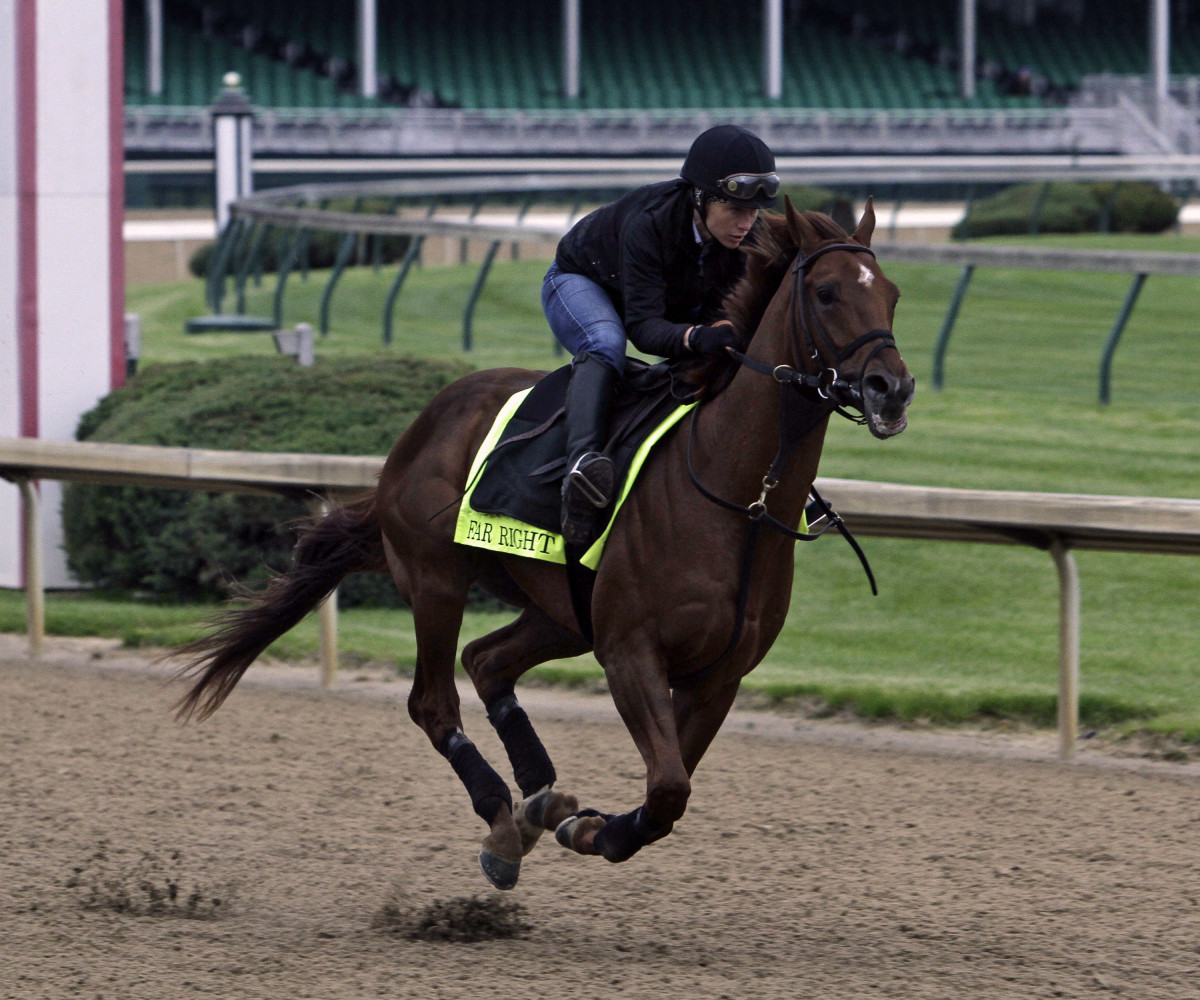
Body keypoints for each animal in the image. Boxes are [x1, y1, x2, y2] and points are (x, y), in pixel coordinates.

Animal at [171, 196, 914, 891]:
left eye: (891, 292)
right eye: (827, 292)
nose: (893, 388)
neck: (739, 500)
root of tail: (417, 431)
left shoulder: (718, 675)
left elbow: (668, 791)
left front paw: (586, 825)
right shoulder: (629, 651)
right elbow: (668, 786)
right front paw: (590, 830)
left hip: (562, 612)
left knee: (486, 661)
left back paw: (539, 802)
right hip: (438, 579)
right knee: (433, 700)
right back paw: (504, 818)